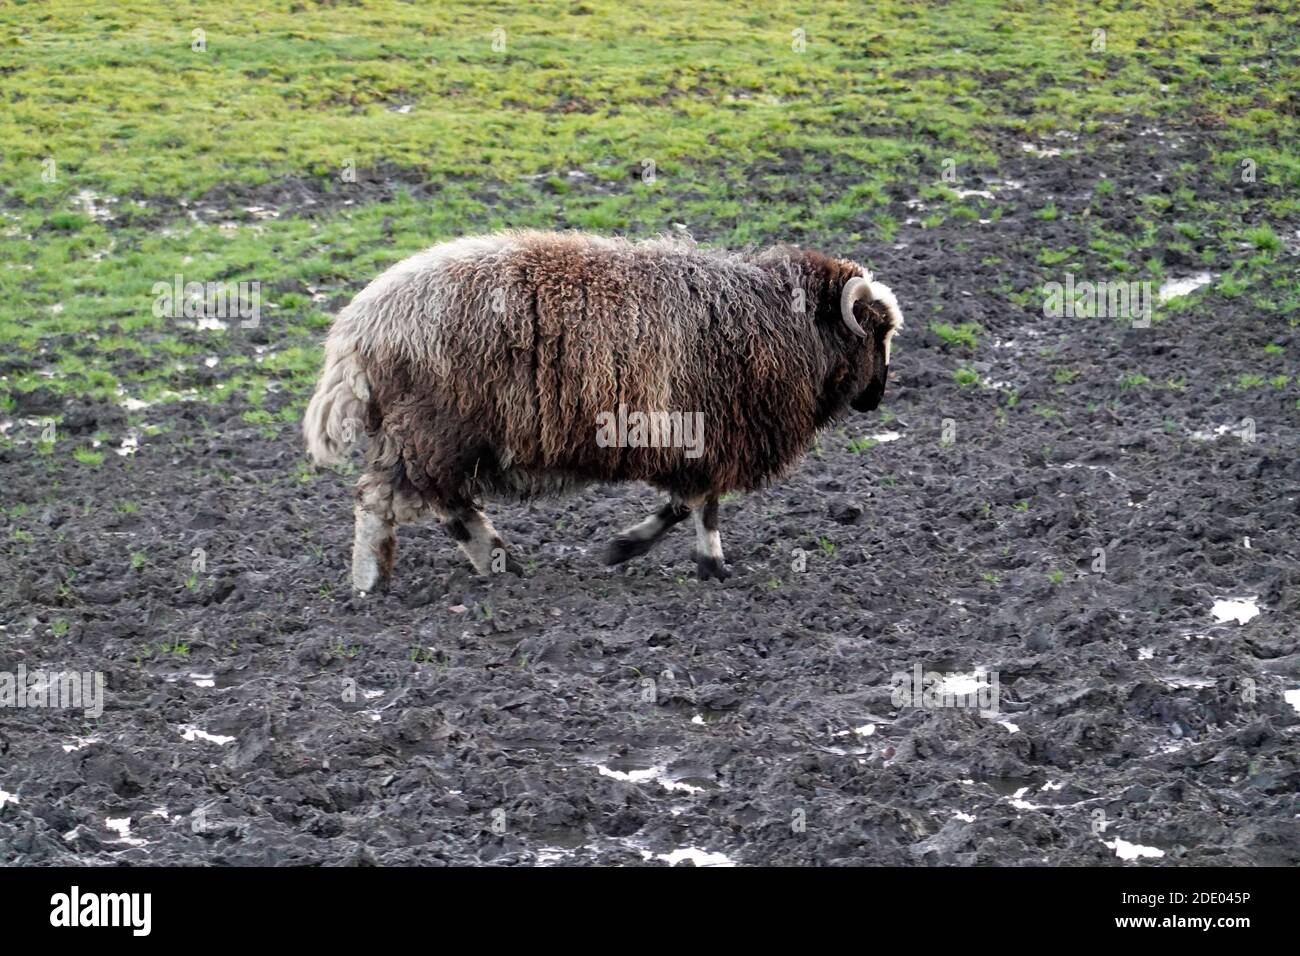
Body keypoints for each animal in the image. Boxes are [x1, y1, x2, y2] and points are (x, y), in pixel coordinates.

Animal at [303, 230, 903, 591]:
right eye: (876, 331)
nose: (876, 398)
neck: (780, 322)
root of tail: (360, 326)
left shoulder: (696, 441)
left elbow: (685, 504)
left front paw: (629, 549)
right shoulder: (708, 434)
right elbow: (701, 507)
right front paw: (704, 564)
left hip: (419, 436)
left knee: (430, 503)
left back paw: (495, 562)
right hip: (432, 431)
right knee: (393, 501)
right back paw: (377, 582)